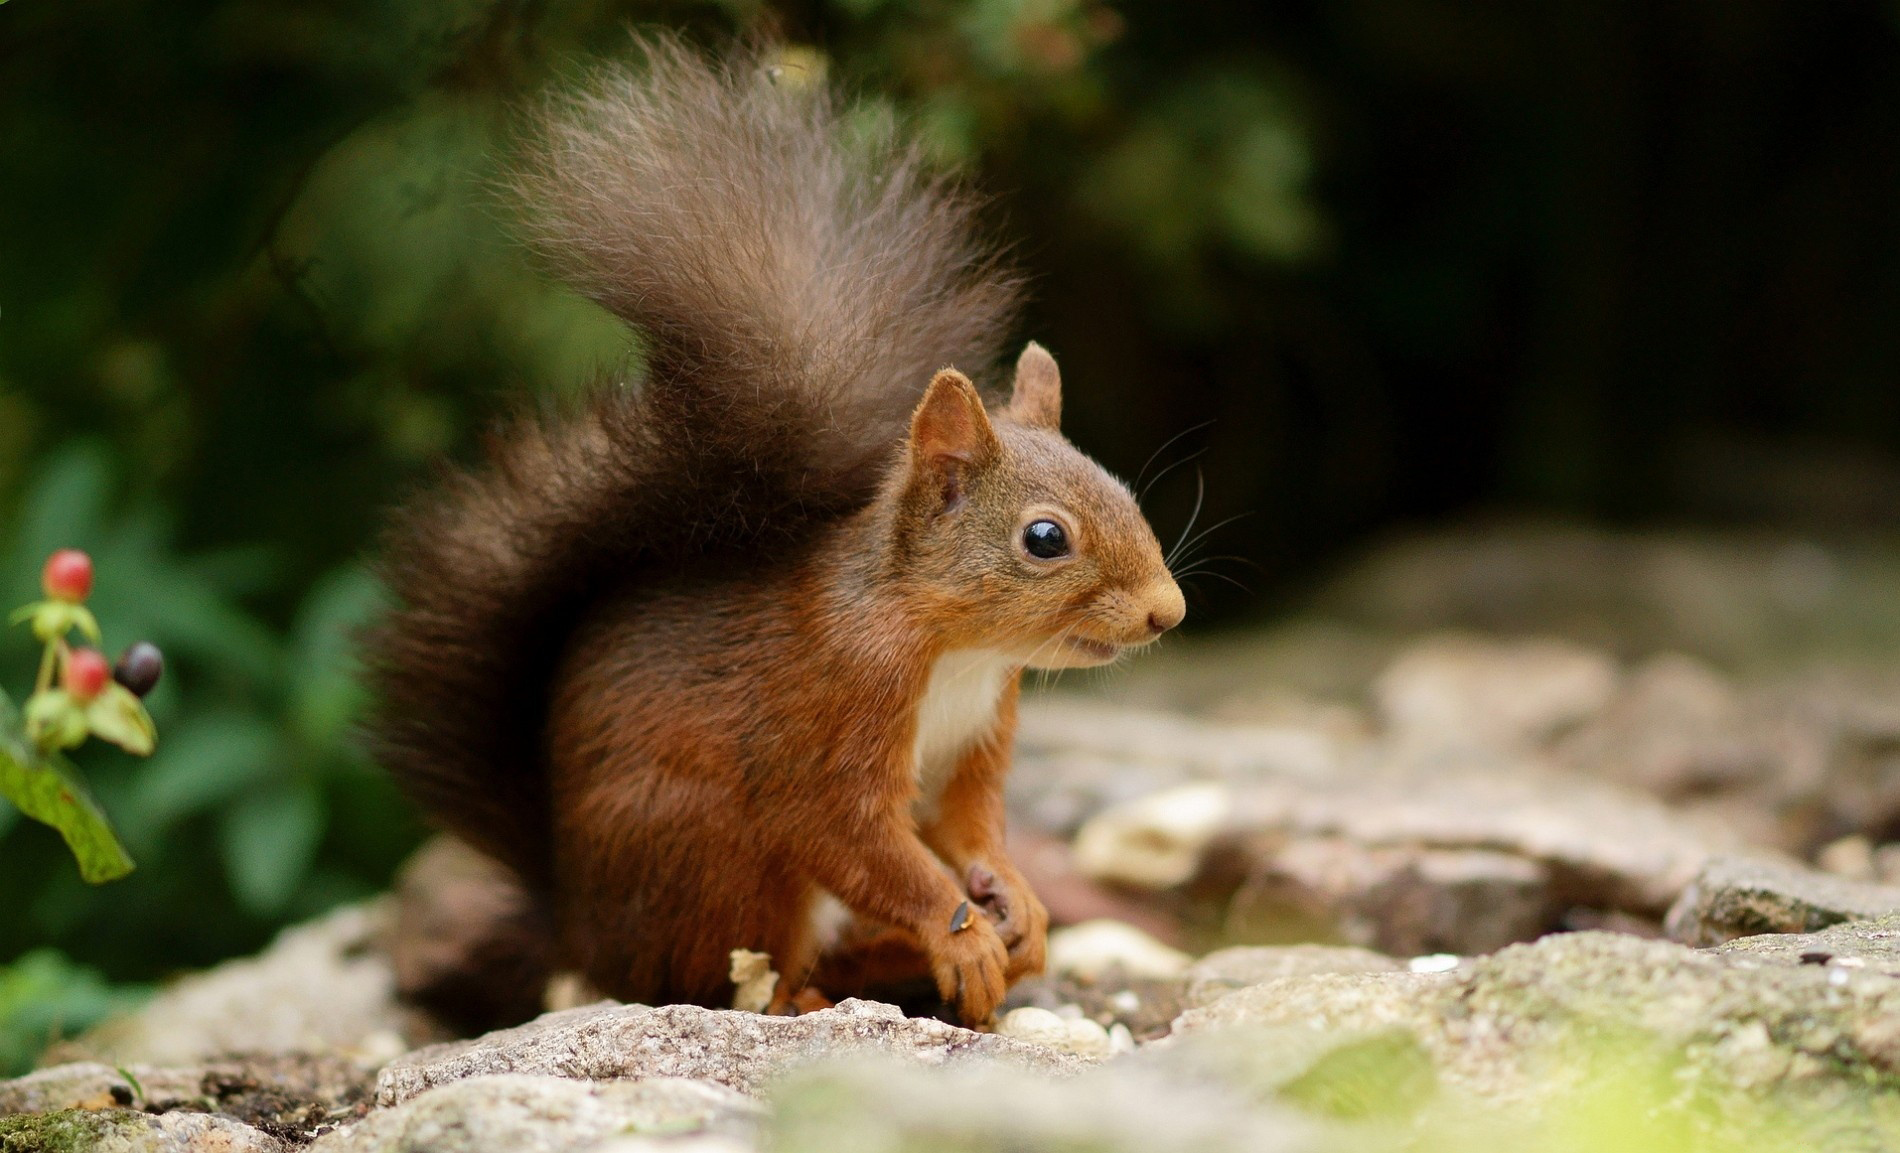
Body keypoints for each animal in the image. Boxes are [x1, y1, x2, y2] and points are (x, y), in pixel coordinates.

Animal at [365, 36, 1184, 1028]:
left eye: (1123, 489)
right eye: (1045, 538)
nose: (1168, 612)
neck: (952, 645)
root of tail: (582, 929)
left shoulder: (979, 735)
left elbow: (967, 827)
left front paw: (1014, 898)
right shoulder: (830, 715)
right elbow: (857, 838)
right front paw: (958, 931)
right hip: (718, 858)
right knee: (723, 977)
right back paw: (807, 992)